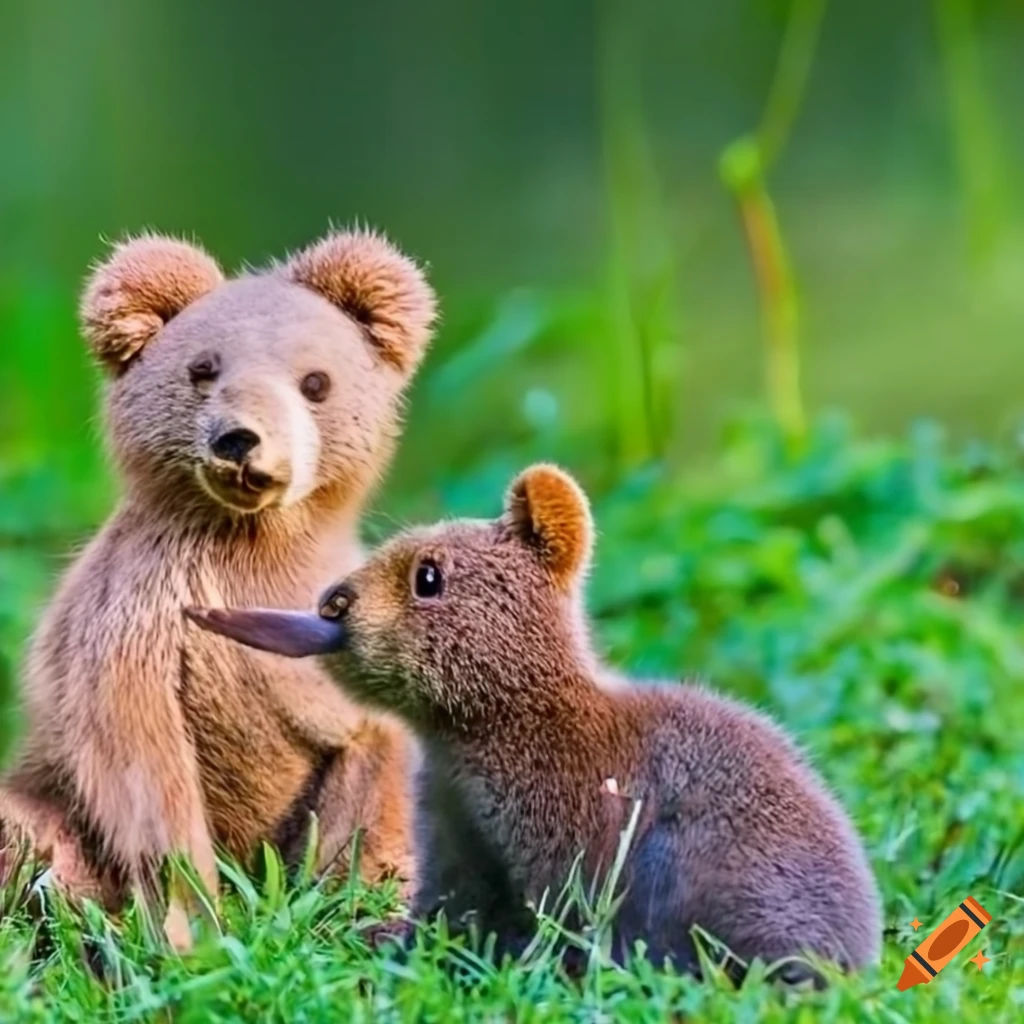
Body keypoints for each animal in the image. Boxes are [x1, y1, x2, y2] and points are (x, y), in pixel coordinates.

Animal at [0, 227, 436, 948]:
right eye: (202, 370)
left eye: (315, 382)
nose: (241, 441)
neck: (254, 541)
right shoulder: (139, 627)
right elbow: (149, 782)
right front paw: (193, 926)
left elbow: (369, 776)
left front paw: (360, 904)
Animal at [186, 463, 882, 982]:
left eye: (428, 577)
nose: (332, 602)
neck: (497, 728)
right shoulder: (455, 828)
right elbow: (447, 905)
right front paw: (389, 938)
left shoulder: (568, 829)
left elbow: (557, 914)